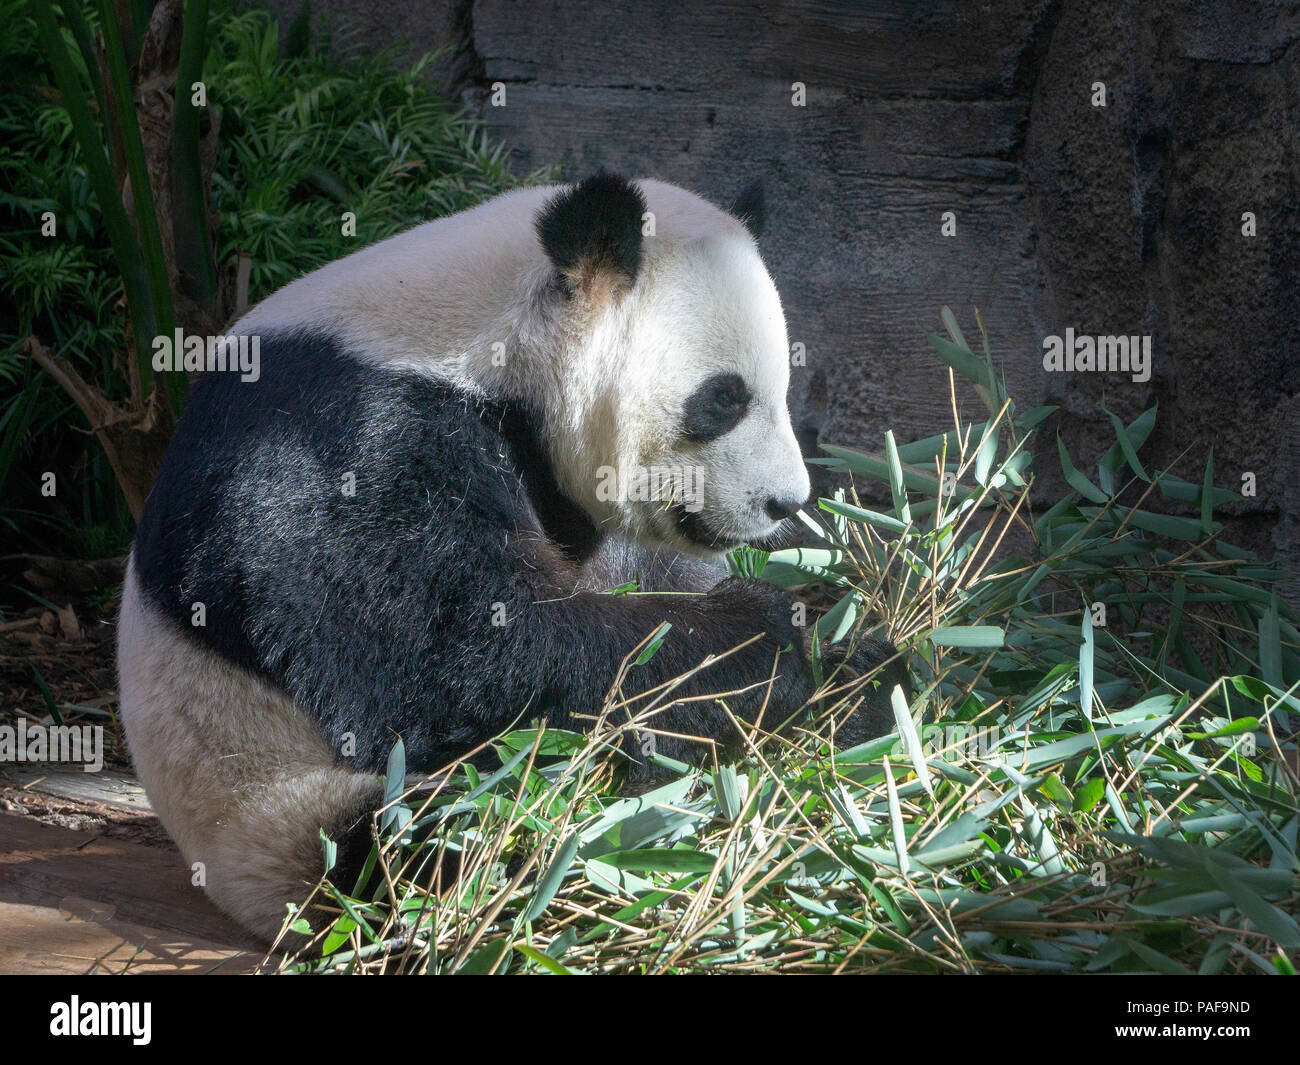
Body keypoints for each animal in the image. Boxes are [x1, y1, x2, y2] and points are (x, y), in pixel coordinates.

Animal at [117, 172, 898, 941]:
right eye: (724, 399)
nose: (785, 500)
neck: (480, 335)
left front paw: (855, 661)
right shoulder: (343, 432)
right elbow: (435, 644)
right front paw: (763, 640)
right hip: (279, 800)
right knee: (452, 823)